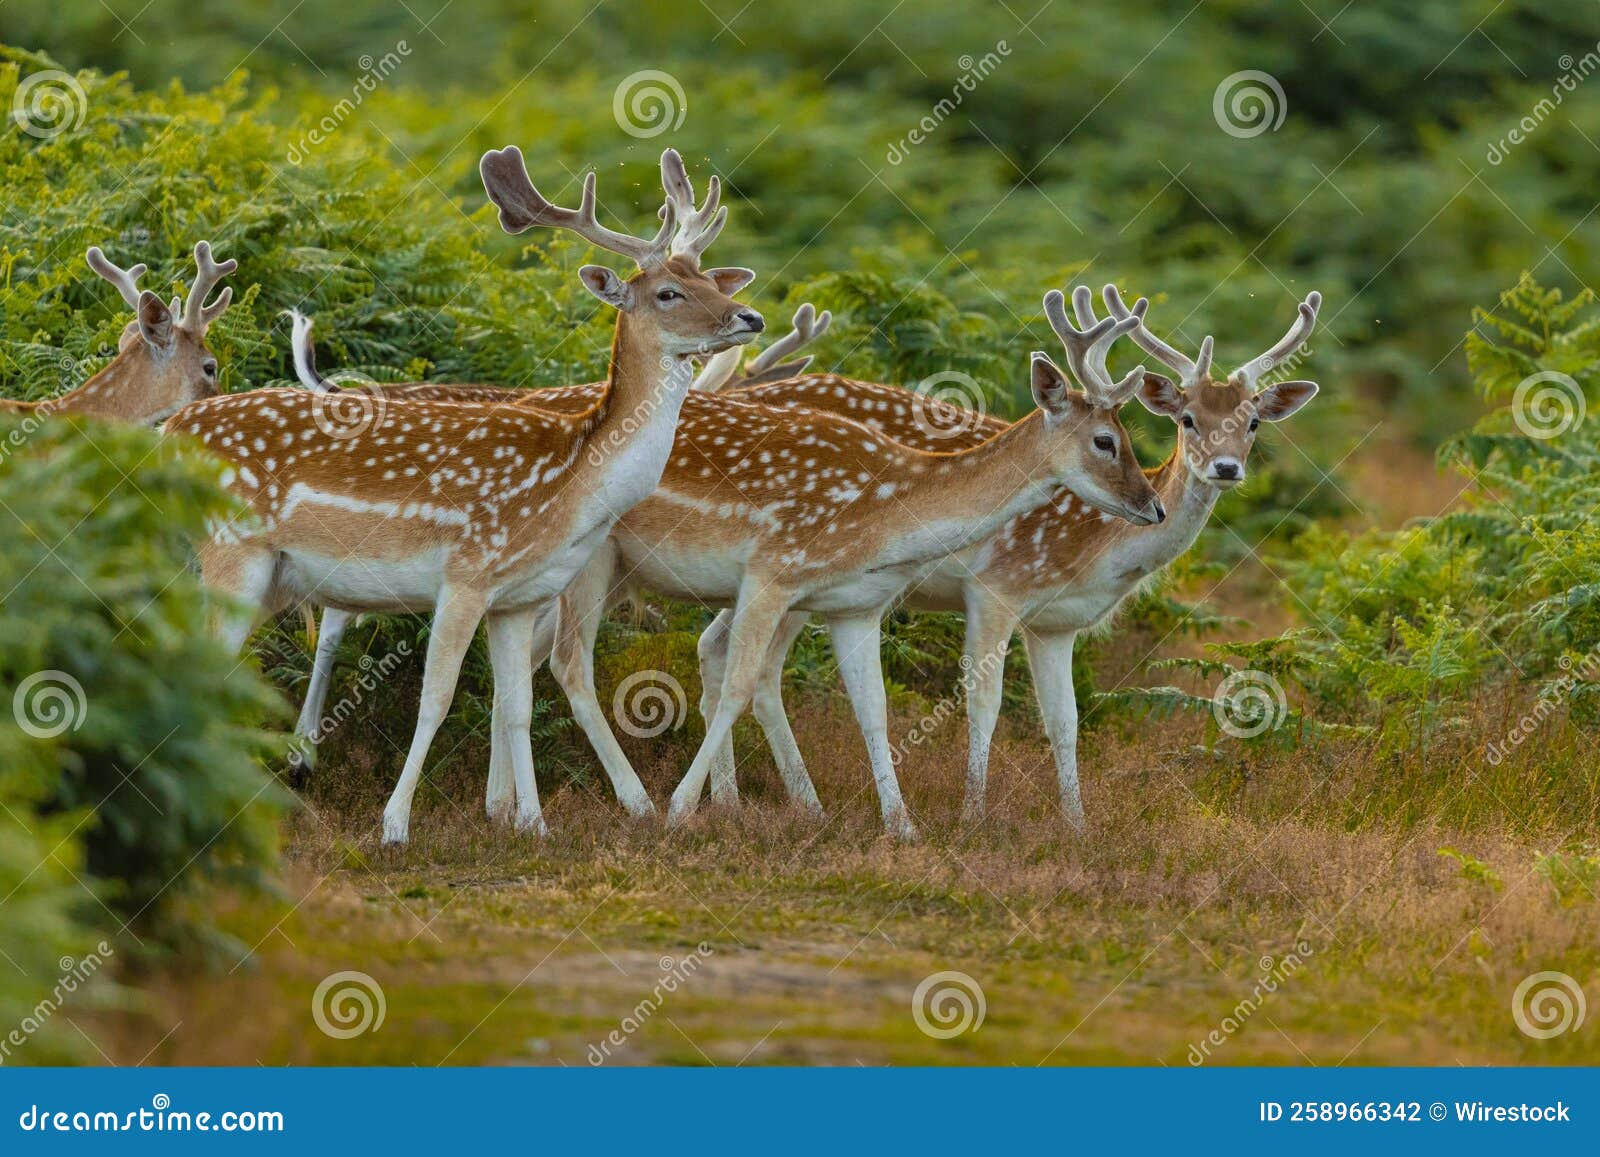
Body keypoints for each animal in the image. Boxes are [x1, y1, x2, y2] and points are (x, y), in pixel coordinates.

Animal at [165, 145, 766, 844]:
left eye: (712, 283)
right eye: (669, 293)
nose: (750, 317)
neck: (568, 490)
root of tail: (170, 430)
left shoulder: (518, 597)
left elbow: (517, 705)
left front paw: (531, 824)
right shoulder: (465, 572)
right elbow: (438, 699)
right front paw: (395, 826)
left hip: (264, 577)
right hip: (232, 550)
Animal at [694, 285, 1321, 828]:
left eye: (1253, 423)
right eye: (1187, 419)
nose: (1225, 468)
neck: (1094, 556)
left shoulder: (1056, 624)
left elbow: (1065, 722)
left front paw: (1077, 824)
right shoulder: (996, 587)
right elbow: (984, 705)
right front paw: (972, 813)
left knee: (719, 649)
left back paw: (740, 800)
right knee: (750, 662)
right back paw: (771, 803)